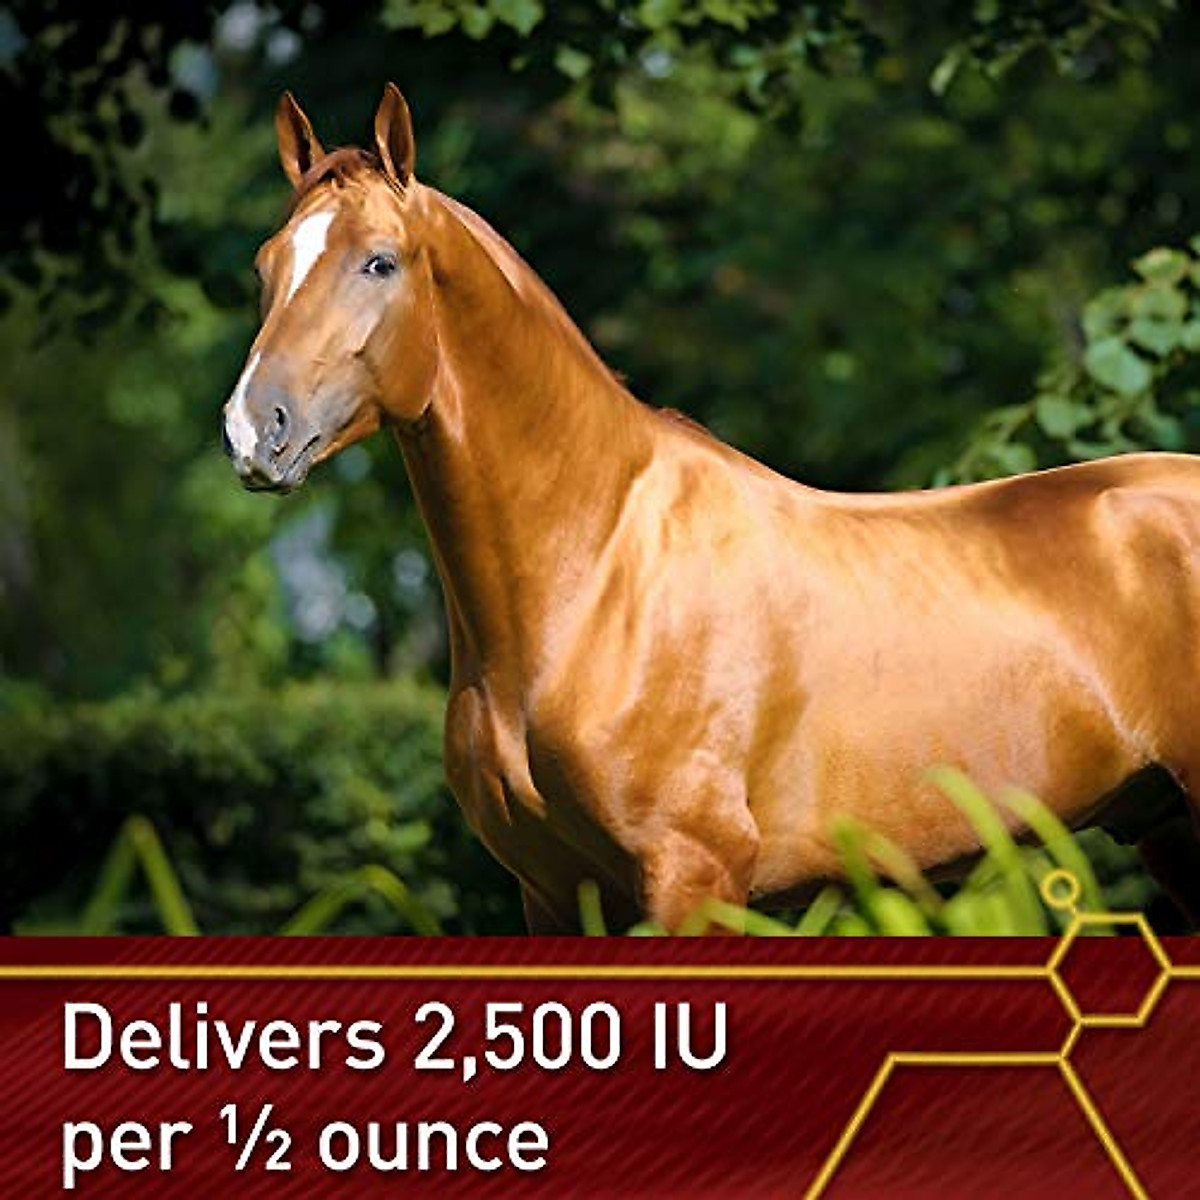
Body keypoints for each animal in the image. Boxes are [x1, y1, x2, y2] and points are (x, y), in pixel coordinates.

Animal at [223, 85, 1200, 933]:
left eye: (379, 262)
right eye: (265, 267)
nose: (252, 429)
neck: (594, 578)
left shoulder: (692, 875)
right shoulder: (551, 892)